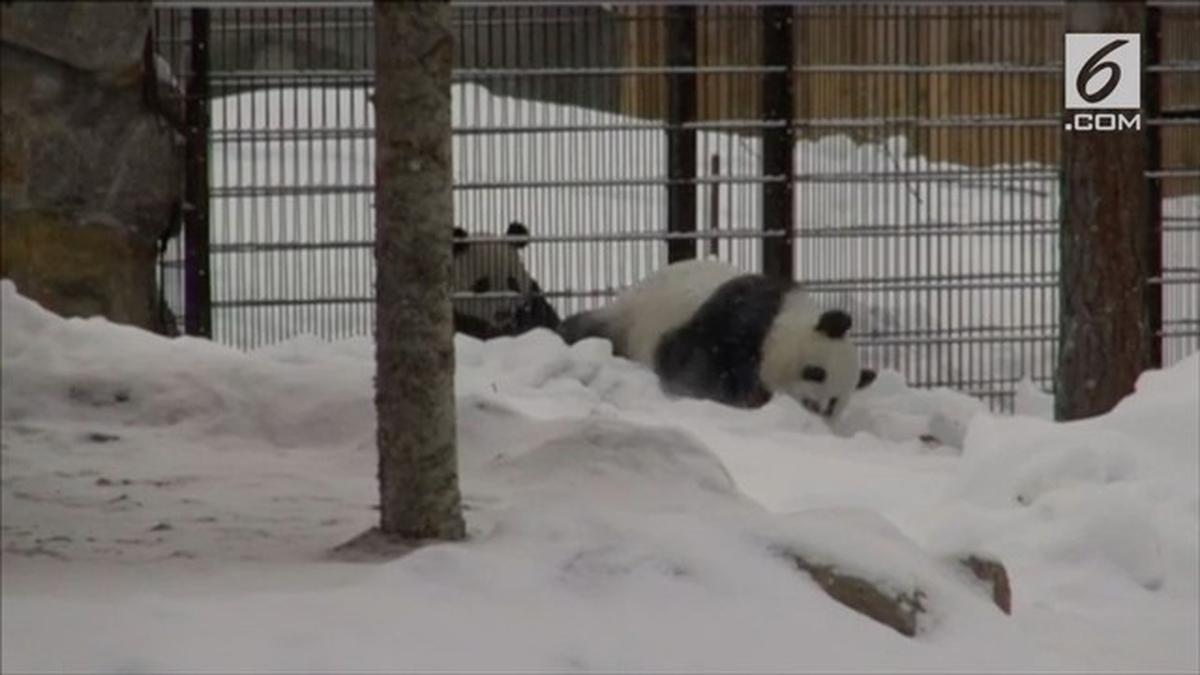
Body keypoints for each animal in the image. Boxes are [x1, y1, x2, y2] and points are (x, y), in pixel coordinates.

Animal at [559, 259, 876, 420]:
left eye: (834, 403)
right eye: (816, 372)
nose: (813, 407)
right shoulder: (739, 315)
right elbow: (695, 361)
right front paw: (736, 396)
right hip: (627, 317)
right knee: (584, 330)